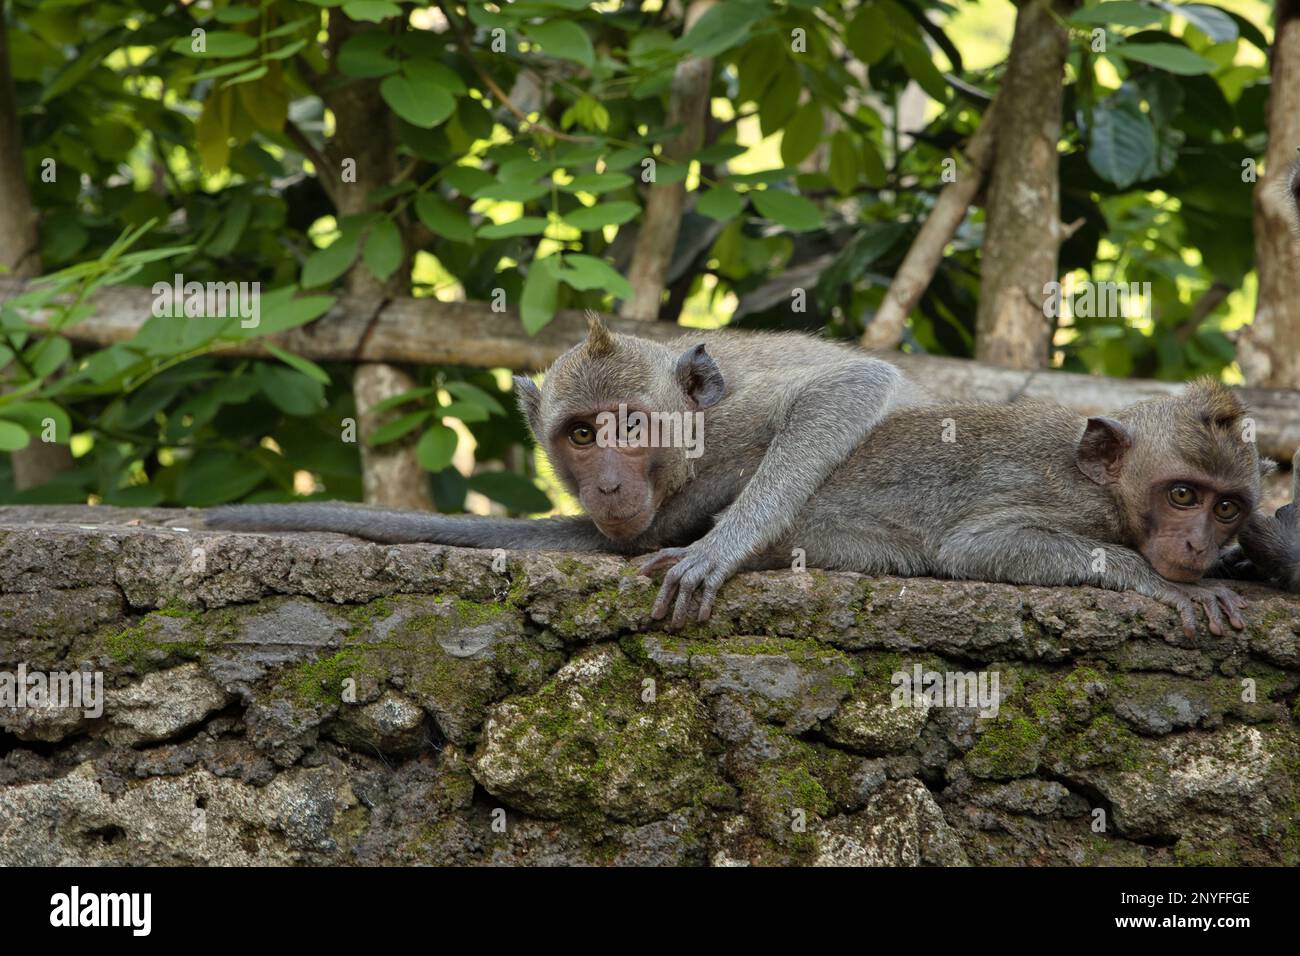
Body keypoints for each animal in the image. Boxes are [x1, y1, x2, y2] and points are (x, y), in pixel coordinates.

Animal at [207, 313, 913, 608]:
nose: (607, 486)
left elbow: (849, 386)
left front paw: (718, 549)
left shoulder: (734, 418)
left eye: (632, 427)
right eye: (580, 436)